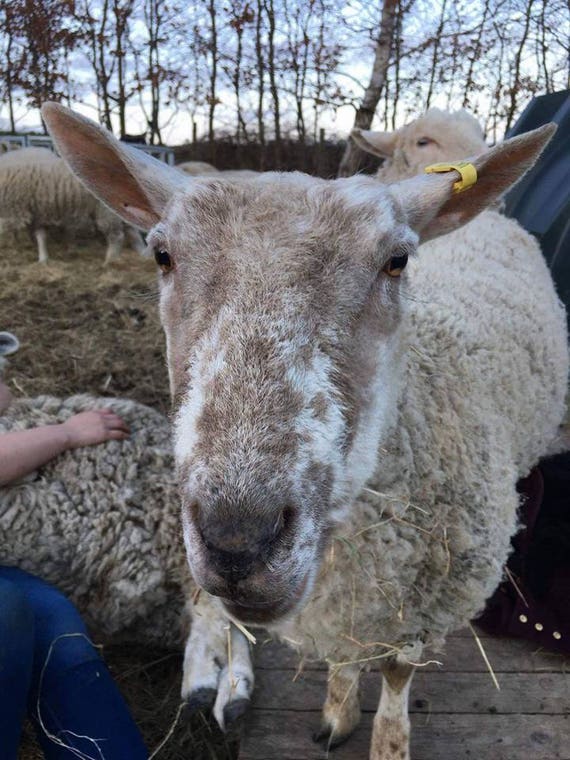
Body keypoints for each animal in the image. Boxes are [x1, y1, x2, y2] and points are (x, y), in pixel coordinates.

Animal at [0, 147, 146, 263]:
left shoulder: (15, 211)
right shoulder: (38, 213)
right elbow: (40, 236)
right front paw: (43, 258)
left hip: (106, 211)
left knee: (117, 236)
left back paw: (110, 260)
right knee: (132, 231)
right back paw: (142, 255)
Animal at [43, 103, 567, 759]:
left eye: (397, 260)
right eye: (162, 255)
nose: (238, 540)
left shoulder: (423, 608)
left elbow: (397, 672)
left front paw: (388, 741)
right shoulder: (341, 610)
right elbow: (345, 660)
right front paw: (337, 712)